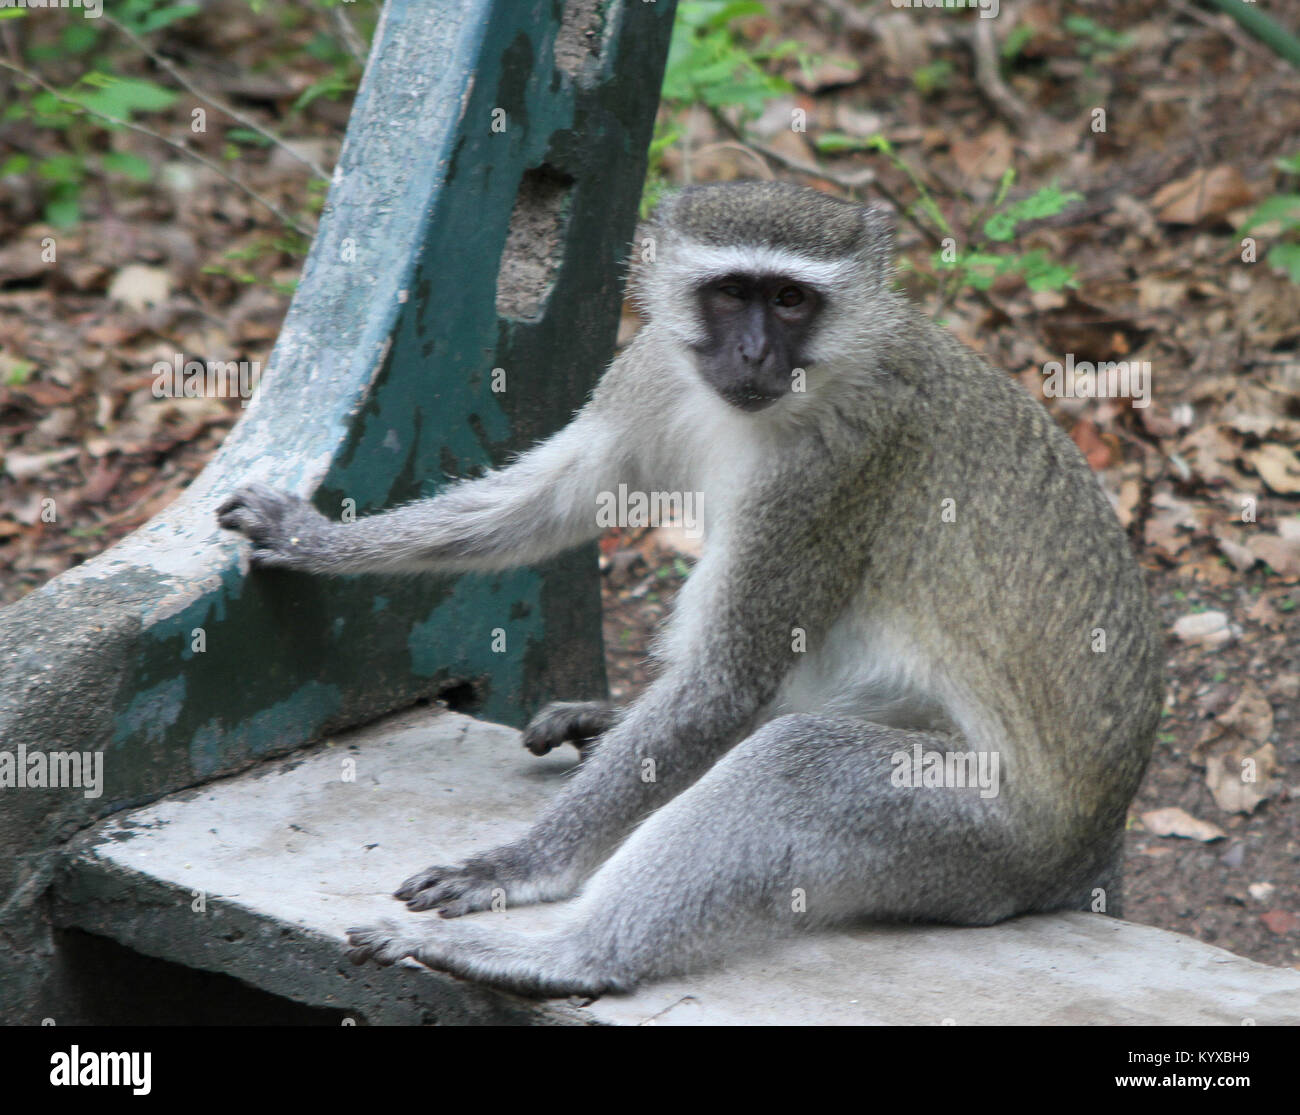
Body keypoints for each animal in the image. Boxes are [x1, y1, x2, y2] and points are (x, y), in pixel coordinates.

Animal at [217, 181, 1164, 998]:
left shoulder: (831, 467)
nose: (753, 351)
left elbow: (723, 680)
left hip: (980, 844)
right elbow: (553, 496)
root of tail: (1090, 846)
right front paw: (312, 539)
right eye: (732, 293)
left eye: (790, 300)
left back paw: (570, 956)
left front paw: (520, 866)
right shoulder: (647, 366)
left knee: (797, 764)